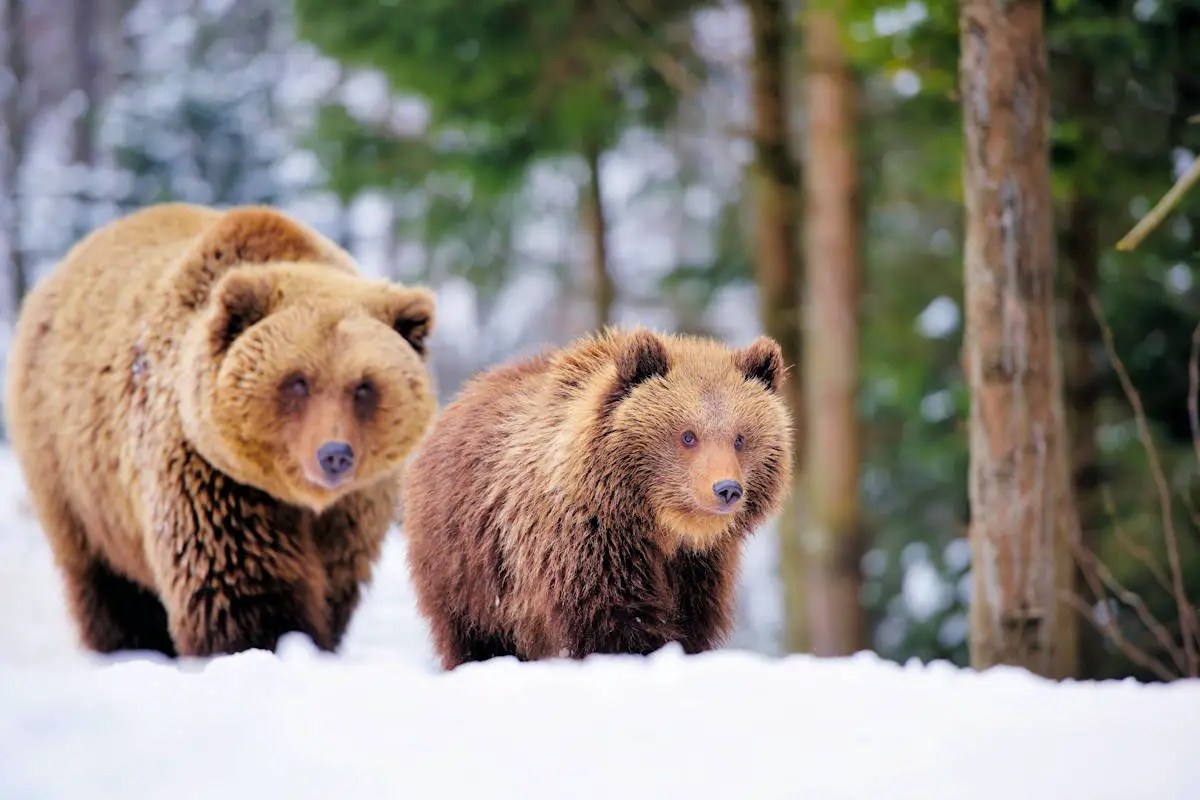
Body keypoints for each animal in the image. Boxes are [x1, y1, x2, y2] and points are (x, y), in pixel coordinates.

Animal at [4, 203, 437, 657]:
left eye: (364, 386)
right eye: (298, 381)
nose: (334, 454)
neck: (297, 498)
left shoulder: (354, 510)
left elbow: (335, 578)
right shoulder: (210, 476)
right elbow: (239, 580)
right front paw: (261, 641)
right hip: (74, 479)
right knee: (108, 583)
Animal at [402, 327, 793, 669]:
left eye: (740, 437)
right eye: (688, 435)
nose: (726, 488)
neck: (659, 527)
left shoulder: (700, 567)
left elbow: (693, 621)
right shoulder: (586, 547)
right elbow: (615, 618)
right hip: (467, 563)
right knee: (475, 633)